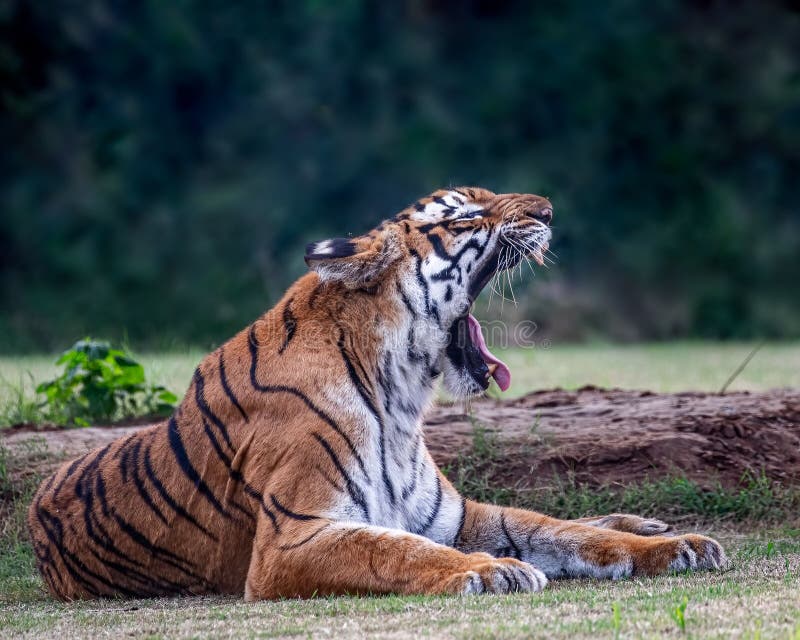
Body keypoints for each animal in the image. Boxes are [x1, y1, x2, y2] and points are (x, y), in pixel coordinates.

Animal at [28, 187, 725, 601]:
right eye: (466, 215)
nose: (549, 211)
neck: (401, 398)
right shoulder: (293, 539)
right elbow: (392, 550)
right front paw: (487, 570)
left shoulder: (456, 516)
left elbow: (560, 531)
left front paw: (679, 546)